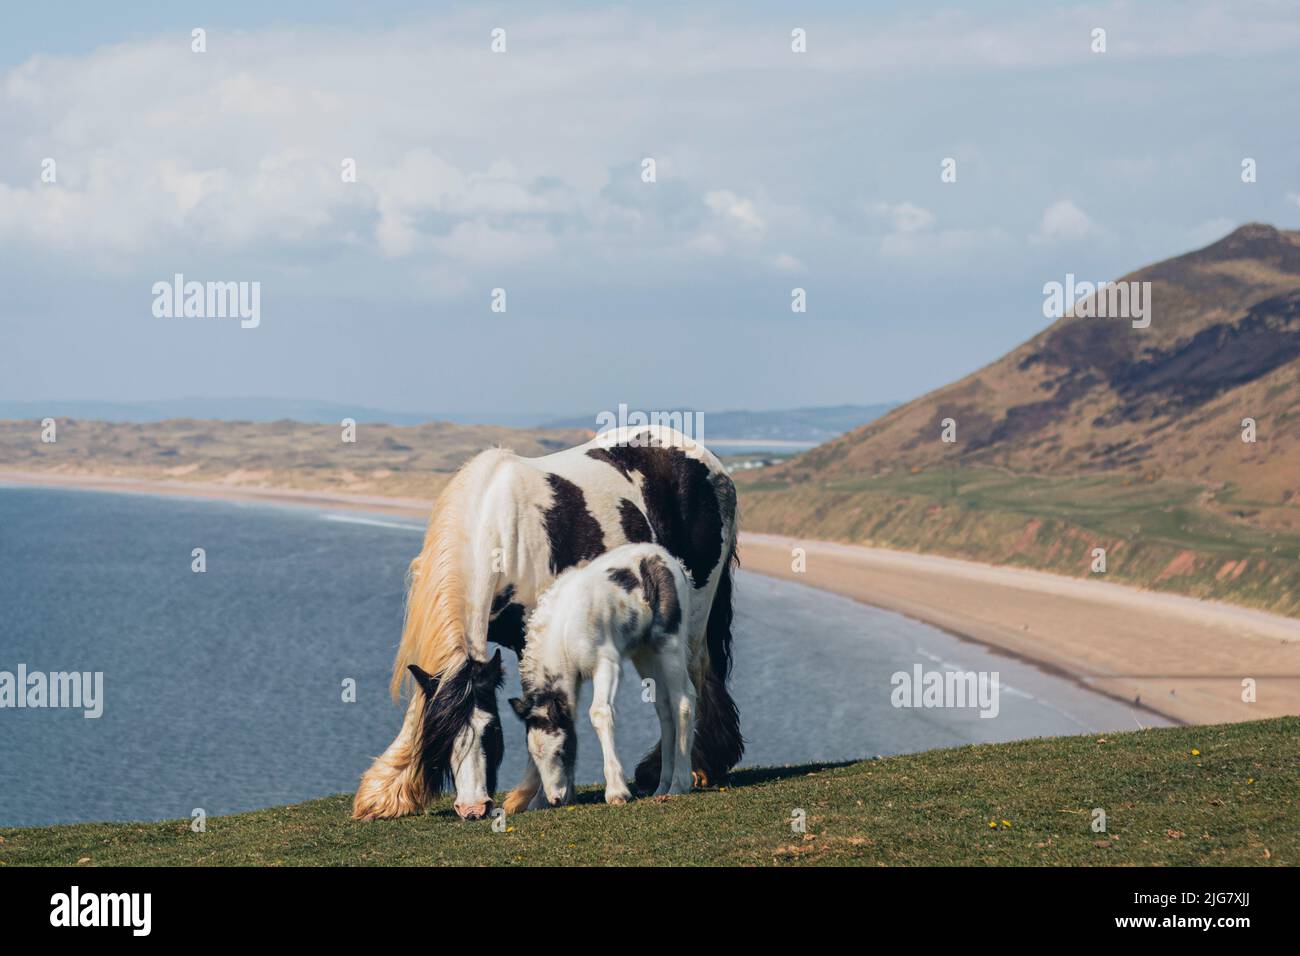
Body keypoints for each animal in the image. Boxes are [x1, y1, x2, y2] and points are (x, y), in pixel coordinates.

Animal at [509, 543, 696, 808]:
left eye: (560, 750)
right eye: (535, 756)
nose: (555, 799)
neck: (564, 630)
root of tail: (672, 560)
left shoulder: (606, 663)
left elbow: (599, 713)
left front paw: (617, 791)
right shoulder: (572, 680)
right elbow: (572, 719)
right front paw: (544, 800)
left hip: (669, 643)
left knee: (683, 700)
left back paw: (679, 785)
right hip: (644, 653)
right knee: (664, 707)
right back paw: (661, 787)